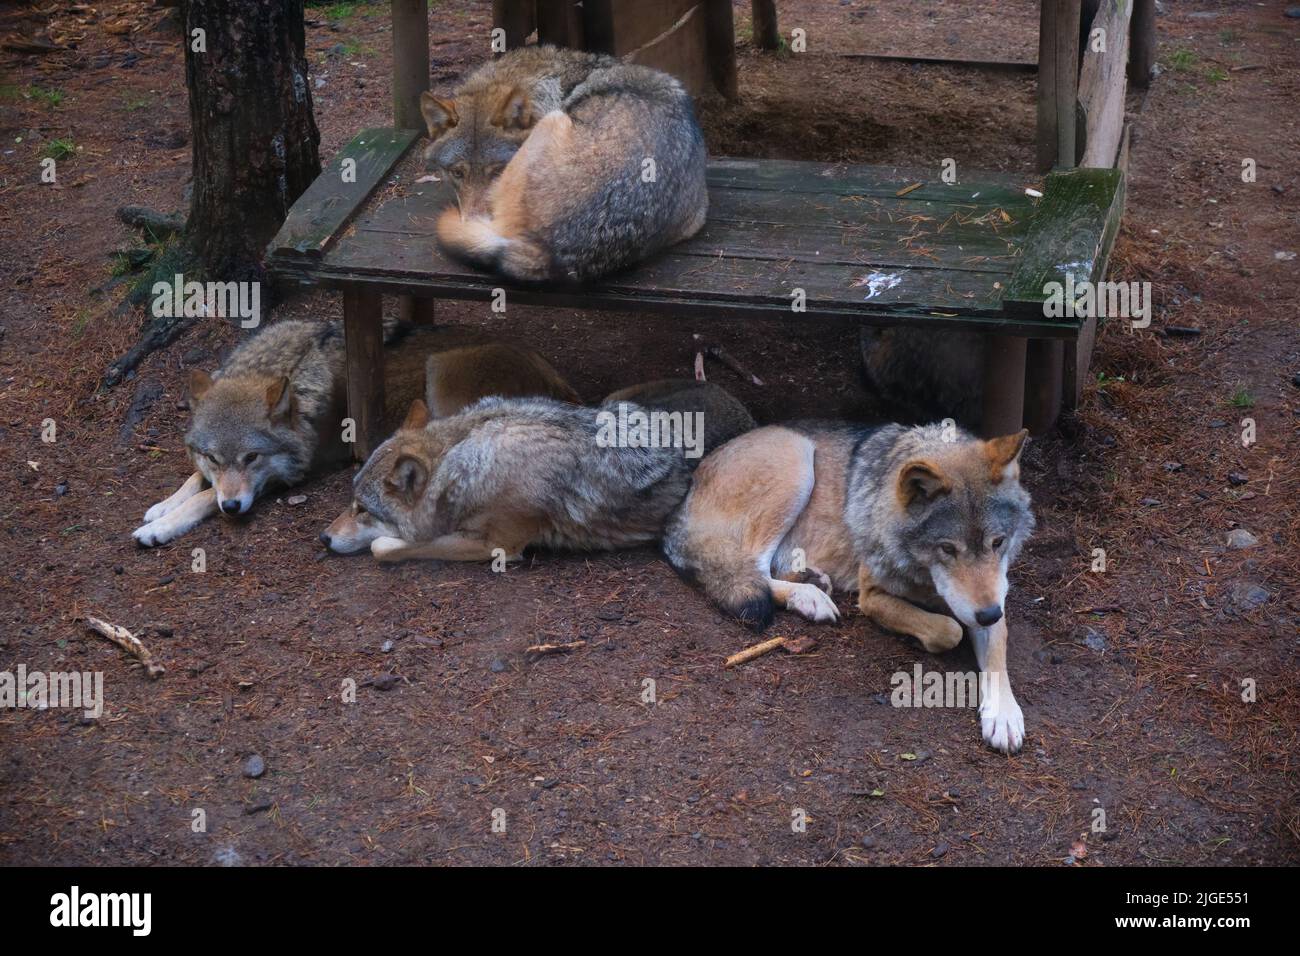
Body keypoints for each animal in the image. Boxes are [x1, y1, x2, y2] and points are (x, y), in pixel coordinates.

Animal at [133, 321, 578, 547]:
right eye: (214, 456)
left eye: (252, 458)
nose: (233, 508)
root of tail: (557, 376)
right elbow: (197, 479)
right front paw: (162, 506)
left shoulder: (295, 473)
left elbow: (206, 496)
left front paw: (160, 527)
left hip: (438, 369)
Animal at [420, 45, 708, 282]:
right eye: (457, 173)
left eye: (497, 171)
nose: (471, 220)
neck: (561, 83)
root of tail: (548, 251)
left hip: (553, 120)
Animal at [662, 422, 1035, 753]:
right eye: (947, 549)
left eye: (998, 543)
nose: (988, 614)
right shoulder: (872, 596)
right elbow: (948, 630)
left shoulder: (993, 598)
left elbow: (997, 657)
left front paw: (1003, 715)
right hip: (797, 459)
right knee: (754, 570)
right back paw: (809, 597)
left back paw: (811, 581)